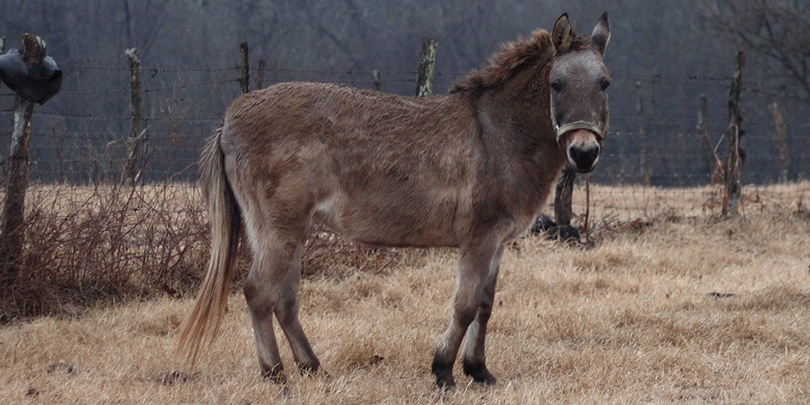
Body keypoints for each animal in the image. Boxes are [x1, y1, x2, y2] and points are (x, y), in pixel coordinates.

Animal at [179, 12, 611, 389]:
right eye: (556, 84)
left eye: (604, 83)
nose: (584, 153)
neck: (498, 133)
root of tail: (230, 118)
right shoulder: (479, 240)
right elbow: (466, 305)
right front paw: (444, 372)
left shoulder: (498, 243)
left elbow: (486, 306)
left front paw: (479, 371)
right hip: (278, 229)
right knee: (258, 293)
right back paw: (276, 376)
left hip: (290, 232)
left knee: (284, 300)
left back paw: (313, 369)